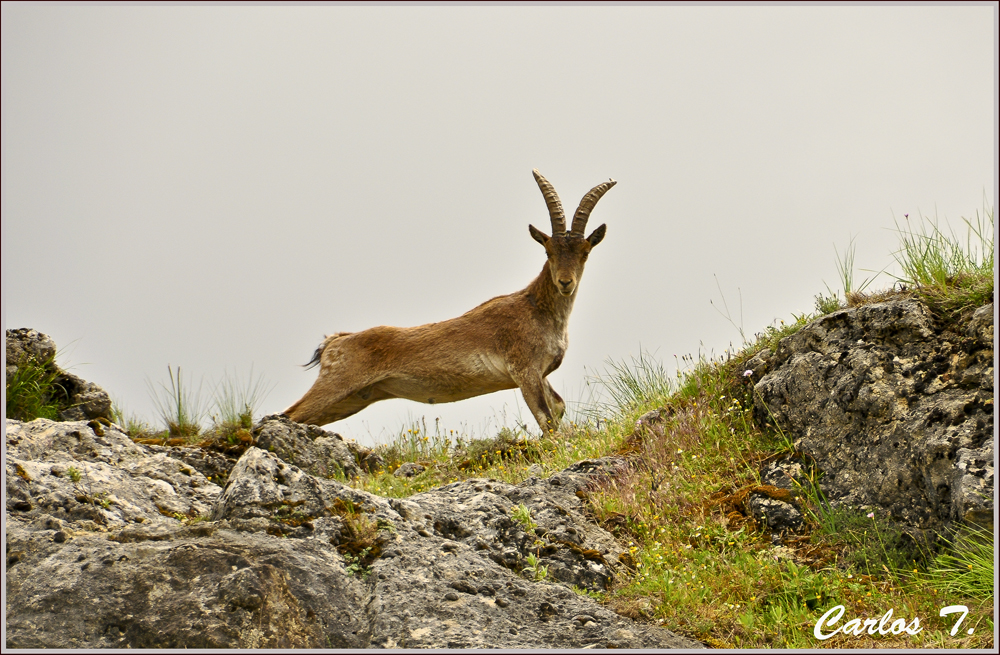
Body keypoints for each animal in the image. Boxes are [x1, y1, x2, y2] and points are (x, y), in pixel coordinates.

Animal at [283, 170, 616, 432]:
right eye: (548, 250)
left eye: (585, 253)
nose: (565, 283)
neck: (537, 308)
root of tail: (335, 342)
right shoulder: (525, 370)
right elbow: (546, 420)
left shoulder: (541, 375)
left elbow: (558, 409)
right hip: (336, 384)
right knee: (287, 414)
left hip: (353, 399)